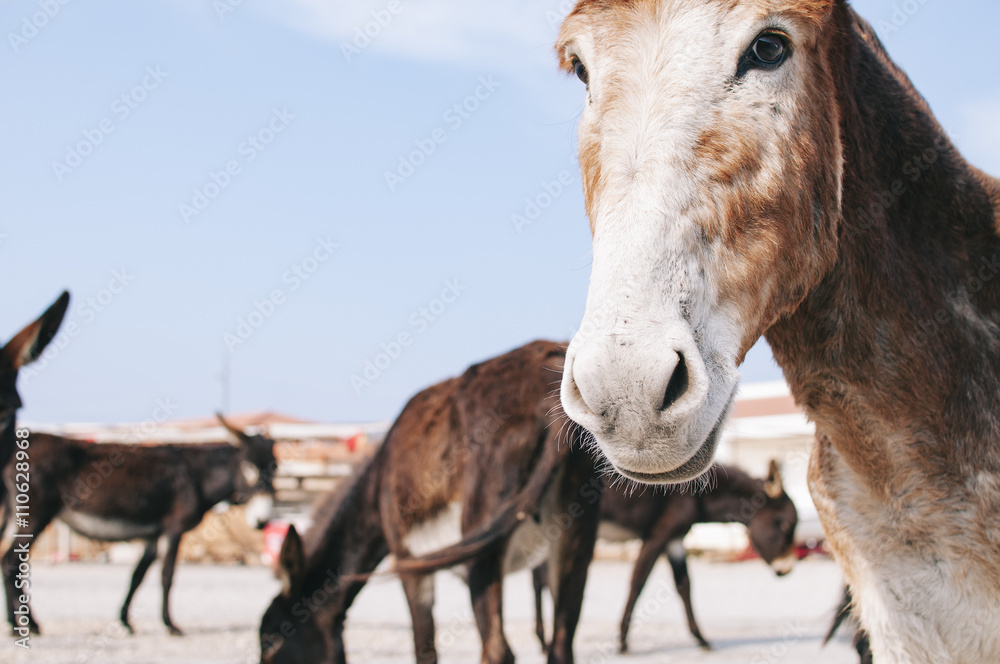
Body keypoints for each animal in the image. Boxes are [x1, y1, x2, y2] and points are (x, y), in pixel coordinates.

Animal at [2, 413, 277, 636]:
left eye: (275, 468)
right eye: (249, 467)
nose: (262, 521)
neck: (196, 474)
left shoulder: (152, 535)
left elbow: (137, 576)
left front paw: (125, 622)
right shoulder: (173, 529)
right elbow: (167, 576)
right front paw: (170, 625)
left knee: (10, 563)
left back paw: (21, 624)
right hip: (37, 517)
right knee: (10, 562)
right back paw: (22, 627)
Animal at [260, 340, 600, 664]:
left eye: (271, 642)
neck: (377, 480)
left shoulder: (410, 563)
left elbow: (425, 651)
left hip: (483, 542)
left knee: (497, 652)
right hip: (575, 539)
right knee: (561, 647)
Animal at [532, 461, 798, 653]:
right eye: (784, 524)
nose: (786, 570)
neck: (695, 493)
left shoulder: (674, 541)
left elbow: (684, 586)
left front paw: (701, 639)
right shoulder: (657, 536)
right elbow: (638, 582)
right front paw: (622, 642)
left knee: (539, 579)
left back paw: (543, 640)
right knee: (543, 579)